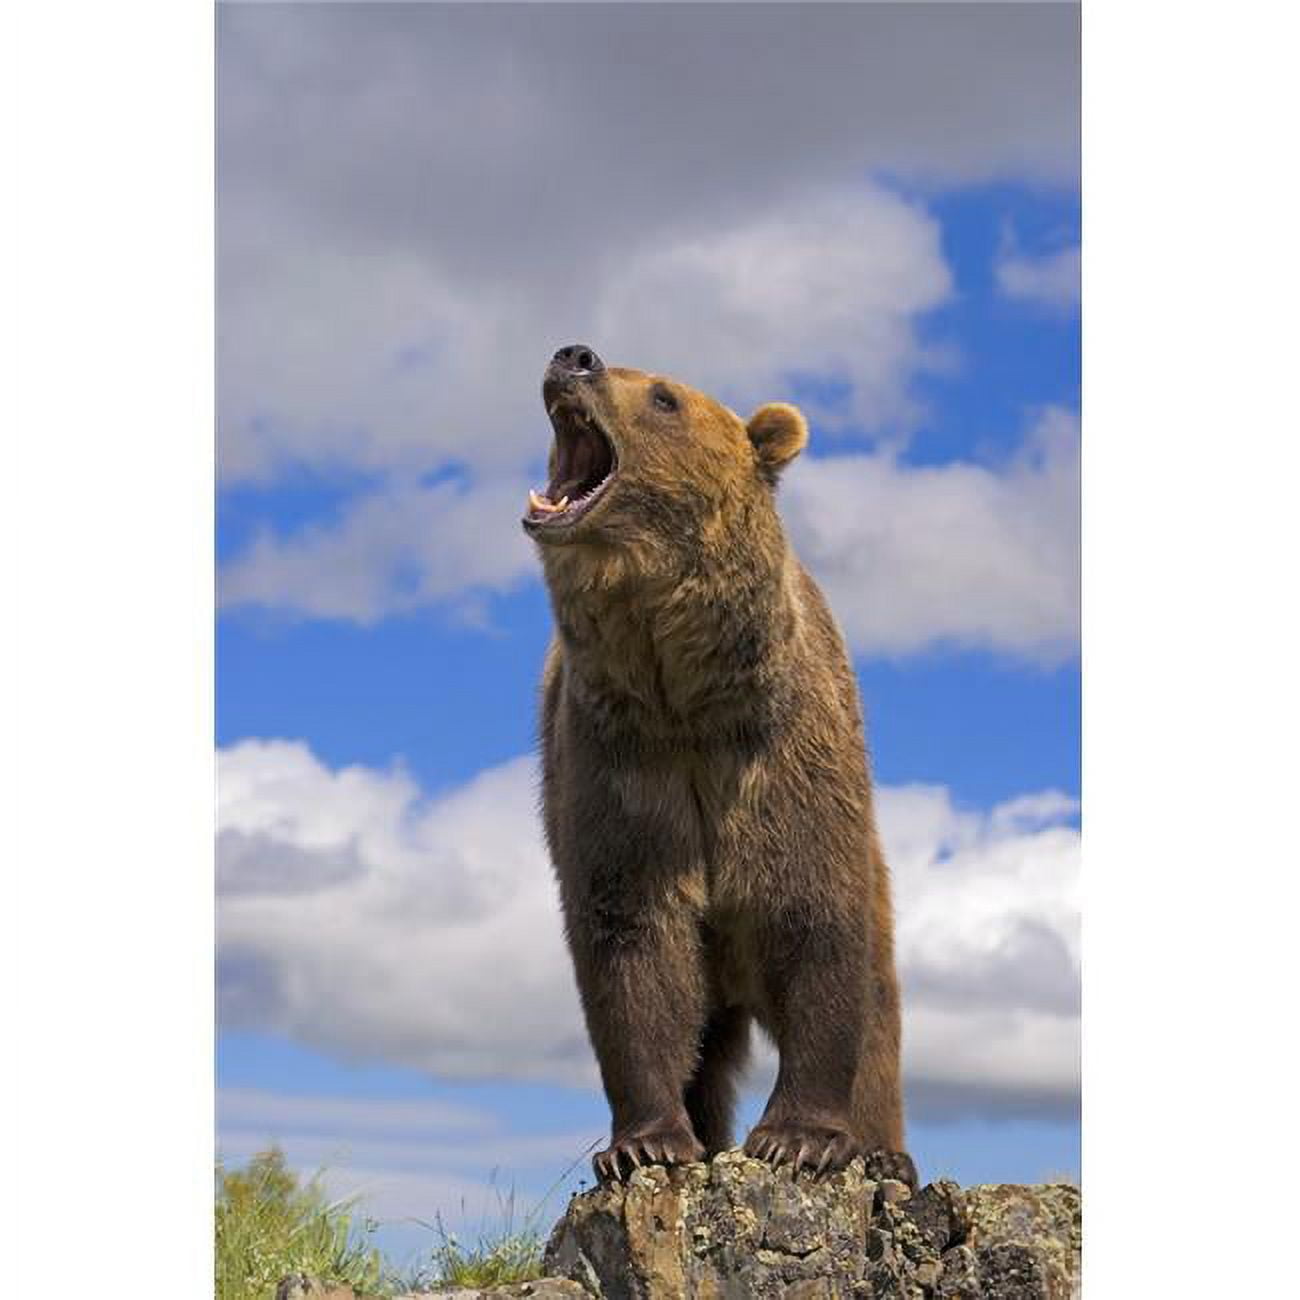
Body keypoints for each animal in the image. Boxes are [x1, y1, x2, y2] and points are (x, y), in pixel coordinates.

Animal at [523, 344, 915, 1187]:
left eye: (665, 397)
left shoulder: (779, 762)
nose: (574, 358)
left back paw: (886, 1153)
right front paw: (645, 1142)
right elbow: (632, 946)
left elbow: (816, 926)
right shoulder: (622, 769)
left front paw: (800, 1138)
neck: (682, 694)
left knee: (878, 1001)